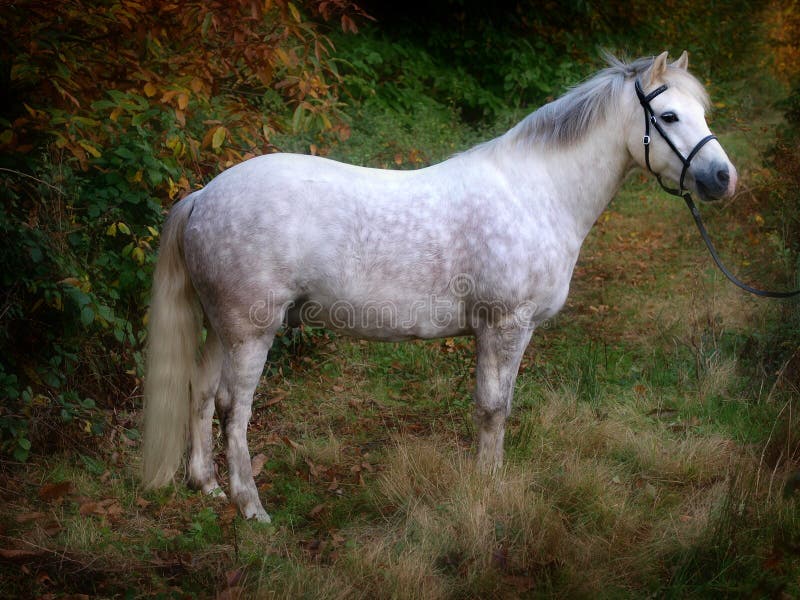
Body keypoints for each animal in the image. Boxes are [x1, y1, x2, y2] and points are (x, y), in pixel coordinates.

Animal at [141, 52, 737, 522]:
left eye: (702, 113)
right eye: (668, 115)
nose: (723, 179)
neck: (536, 192)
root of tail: (204, 195)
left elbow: (496, 404)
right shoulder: (505, 327)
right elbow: (493, 408)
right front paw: (488, 487)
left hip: (220, 327)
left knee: (200, 393)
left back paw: (206, 485)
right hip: (251, 333)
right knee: (232, 408)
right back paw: (250, 505)